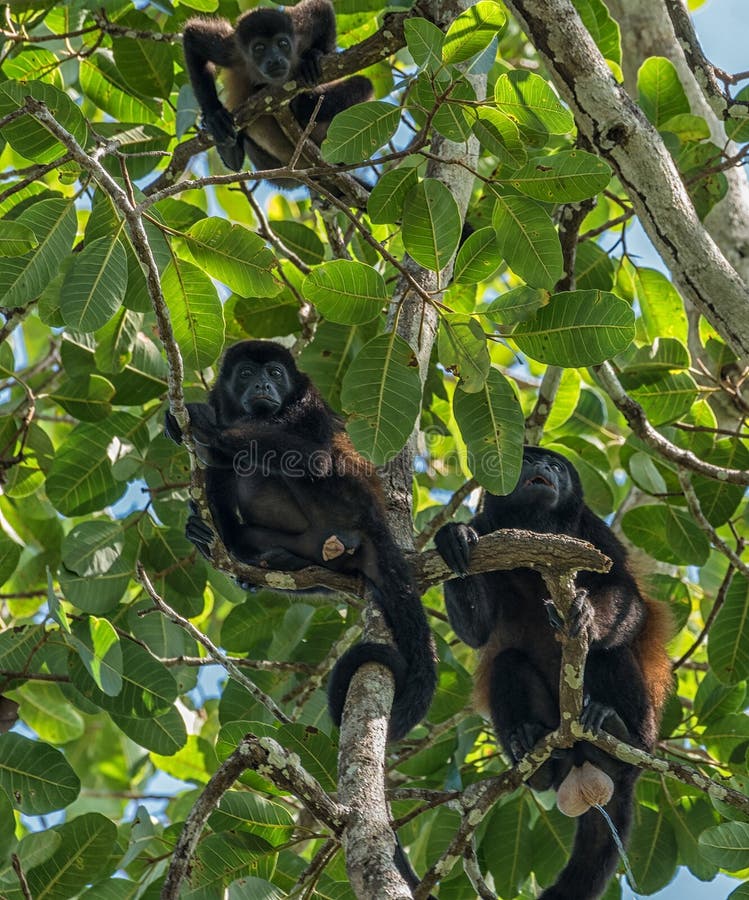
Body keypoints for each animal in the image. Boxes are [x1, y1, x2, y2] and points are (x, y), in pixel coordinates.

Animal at [164, 340, 436, 743]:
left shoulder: (306, 404)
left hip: (343, 500)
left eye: (275, 373)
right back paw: (241, 549)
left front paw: (206, 425)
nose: (263, 385)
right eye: (247, 373)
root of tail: (376, 523)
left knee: (299, 462)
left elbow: (315, 458)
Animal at [182, 0, 374, 185]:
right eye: (259, 48)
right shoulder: (230, 51)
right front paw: (214, 114)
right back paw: (230, 151)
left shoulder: (300, 32)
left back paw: (300, 103)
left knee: (363, 84)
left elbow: (321, 7)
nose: (275, 60)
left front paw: (313, 56)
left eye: (282, 44)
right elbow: (192, 38)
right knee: (236, 162)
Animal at [434, 446, 672, 900]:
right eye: (527, 460)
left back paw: (617, 733)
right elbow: (478, 632)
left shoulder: (594, 531)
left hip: (642, 735)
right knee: (507, 661)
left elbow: (628, 597)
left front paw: (588, 617)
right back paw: (531, 748)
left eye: (557, 466)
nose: (544, 468)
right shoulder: (487, 530)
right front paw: (453, 538)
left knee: (606, 655)